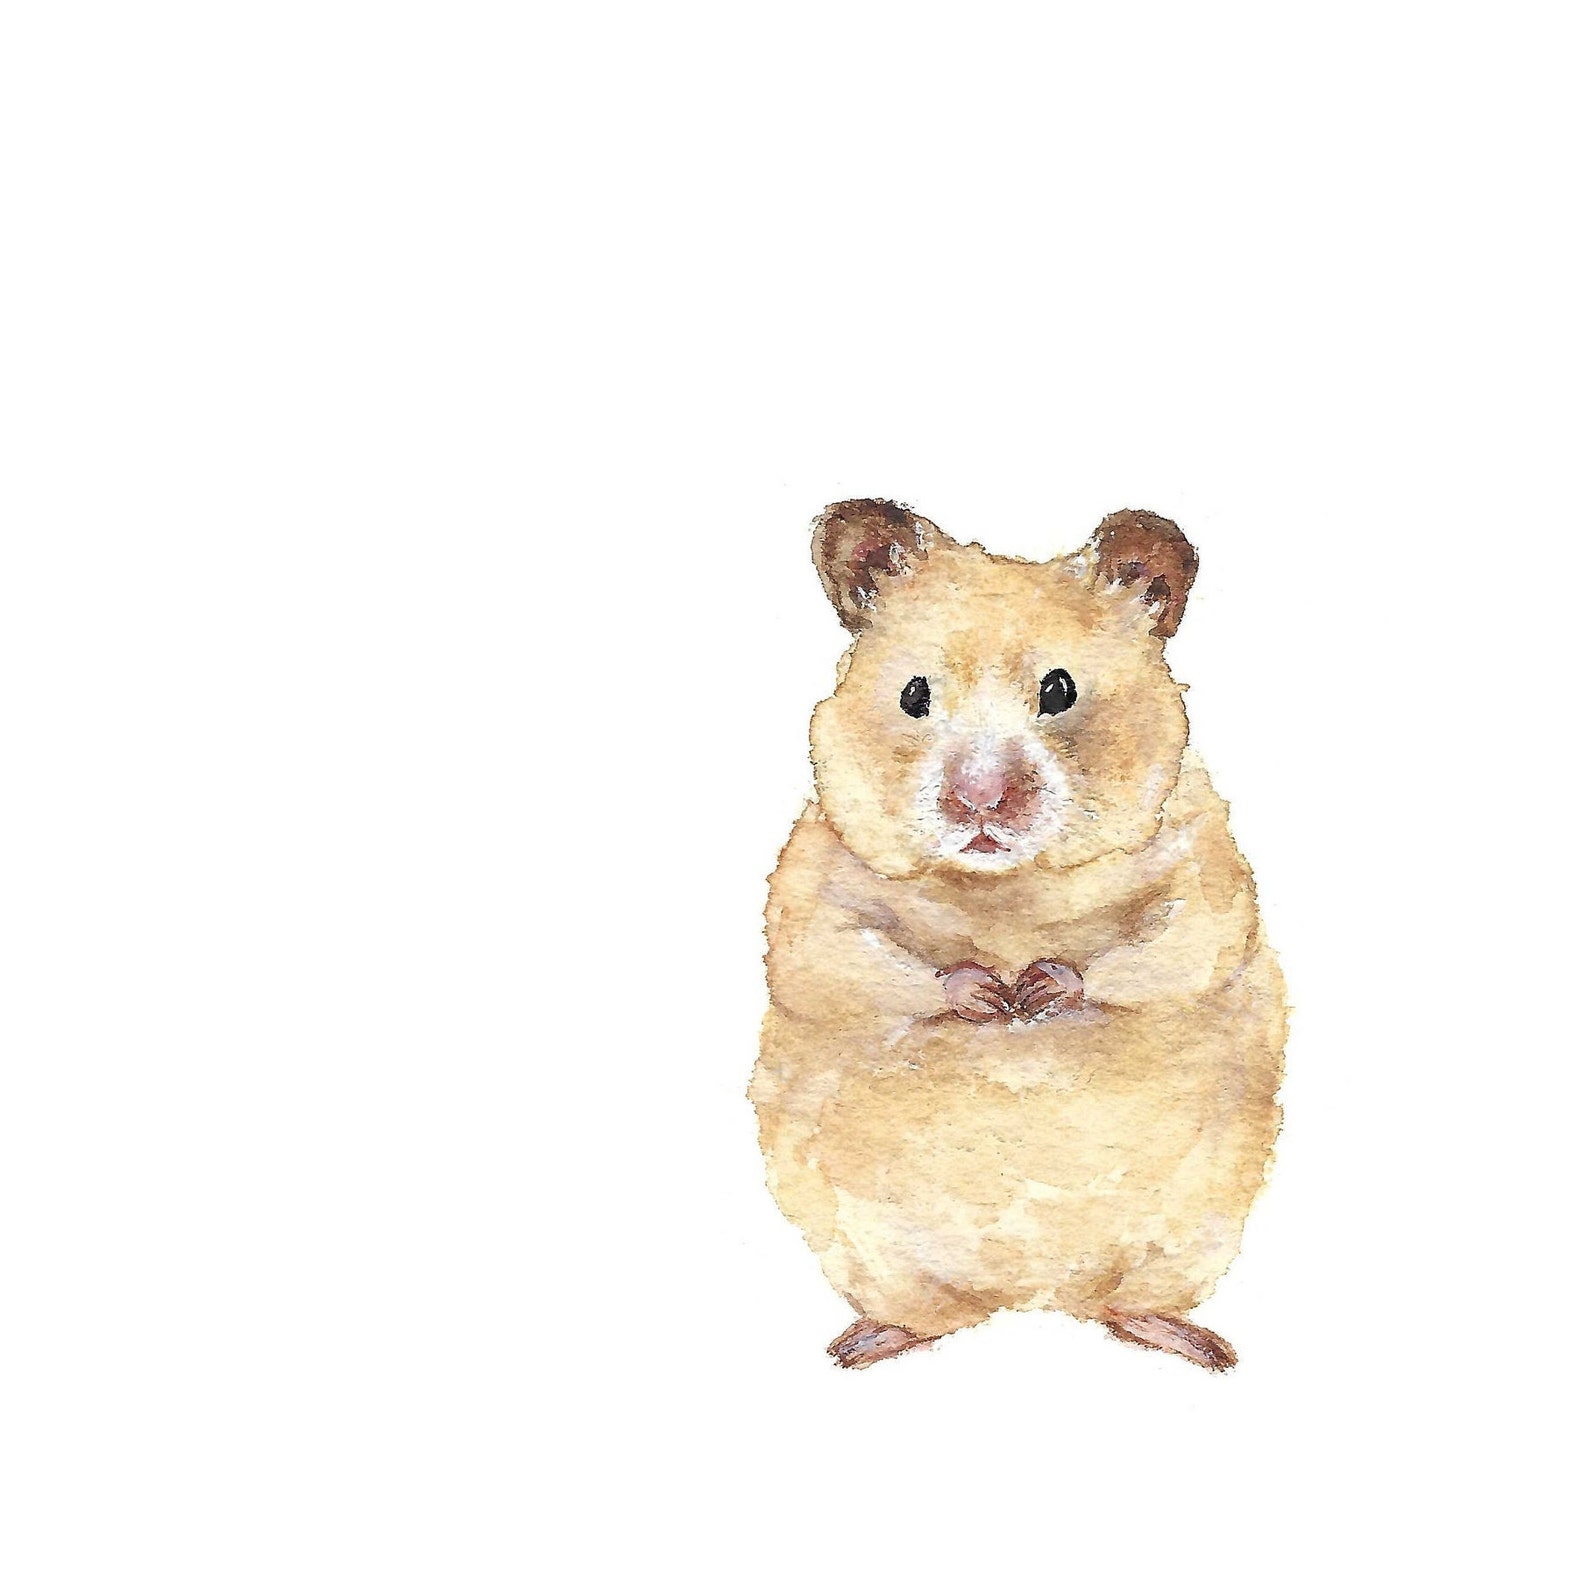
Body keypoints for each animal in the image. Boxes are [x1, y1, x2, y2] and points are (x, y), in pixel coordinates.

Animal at [751, 500, 1285, 1371]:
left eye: (1059, 689)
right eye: (914, 693)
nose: (980, 800)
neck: (1007, 892)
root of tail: (1033, 1299)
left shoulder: (1208, 877)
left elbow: (1161, 949)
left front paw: (1034, 990)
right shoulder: (809, 894)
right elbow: (855, 958)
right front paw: (987, 997)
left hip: (1198, 1227)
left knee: (1127, 1300)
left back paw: (1190, 1342)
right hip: (861, 1242)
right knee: (930, 1309)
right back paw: (865, 1343)